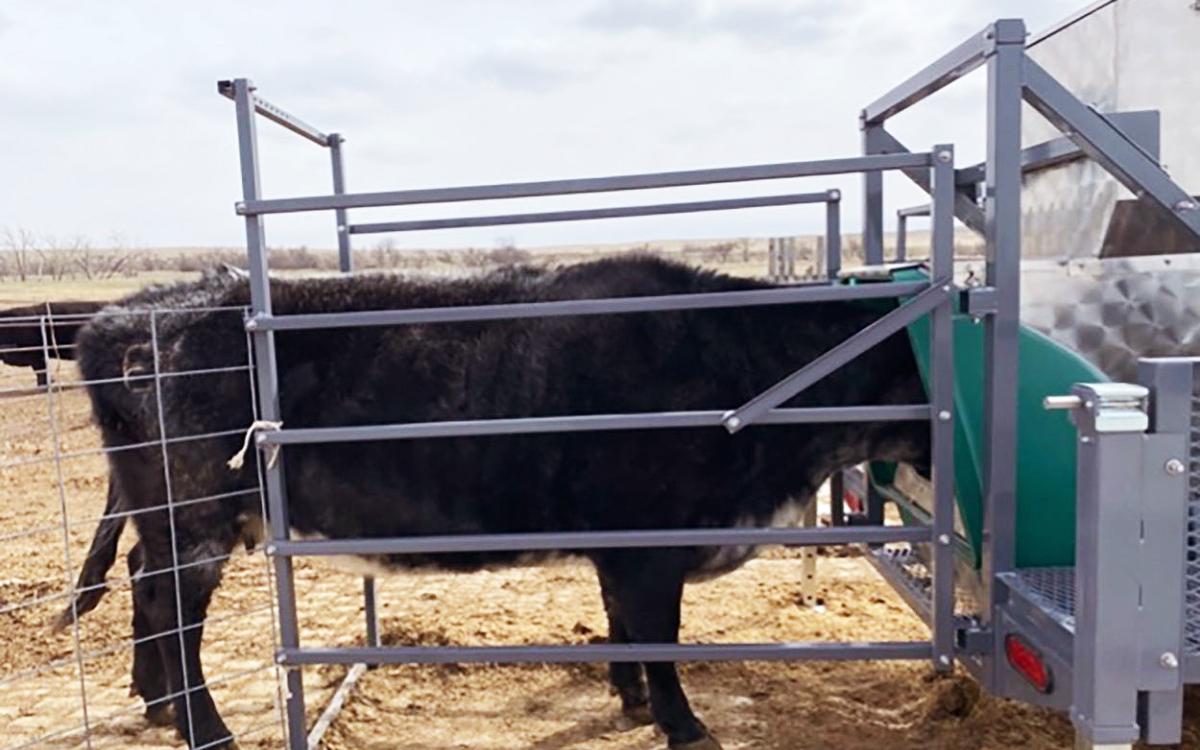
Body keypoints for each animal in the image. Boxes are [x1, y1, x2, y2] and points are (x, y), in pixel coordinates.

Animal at [67, 256, 930, 750]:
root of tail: (124, 316)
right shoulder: (652, 544)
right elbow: (659, 636)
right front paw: (684, 726)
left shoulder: (622, 544)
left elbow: (622, 623)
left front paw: (631, 701)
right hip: (194, 515)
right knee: (168, 606)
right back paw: (206, 730)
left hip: (171, 516)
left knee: (144, 587)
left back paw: (157, 705)